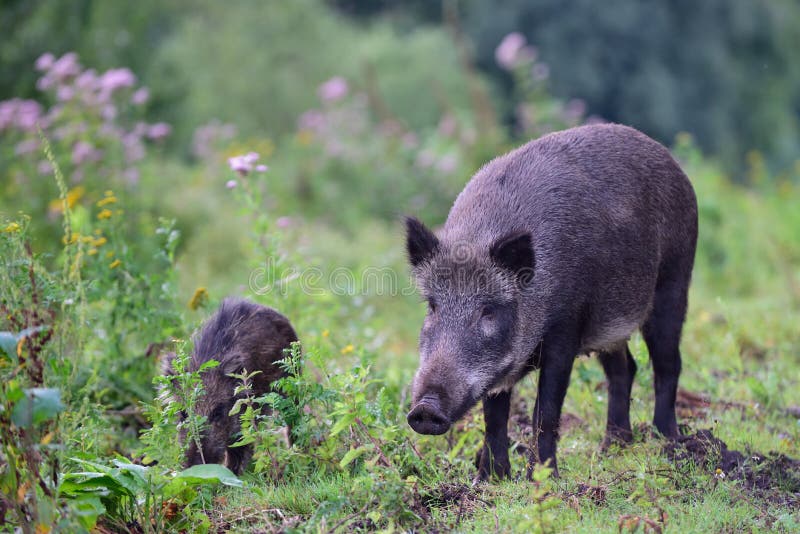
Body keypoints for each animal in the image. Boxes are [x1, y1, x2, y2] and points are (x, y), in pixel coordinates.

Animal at [405, 123, 697, 480]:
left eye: (488, 311)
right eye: (432, 306)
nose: (425, 409)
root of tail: (673, 164)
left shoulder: (566, 329)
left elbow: (544, 410)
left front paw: (542, 479)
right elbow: (494, 415)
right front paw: (489, 479)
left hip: (674, 281)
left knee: (668, 364)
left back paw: (668, 442)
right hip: (609, 326)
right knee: (625, 369)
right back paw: (612, 448)